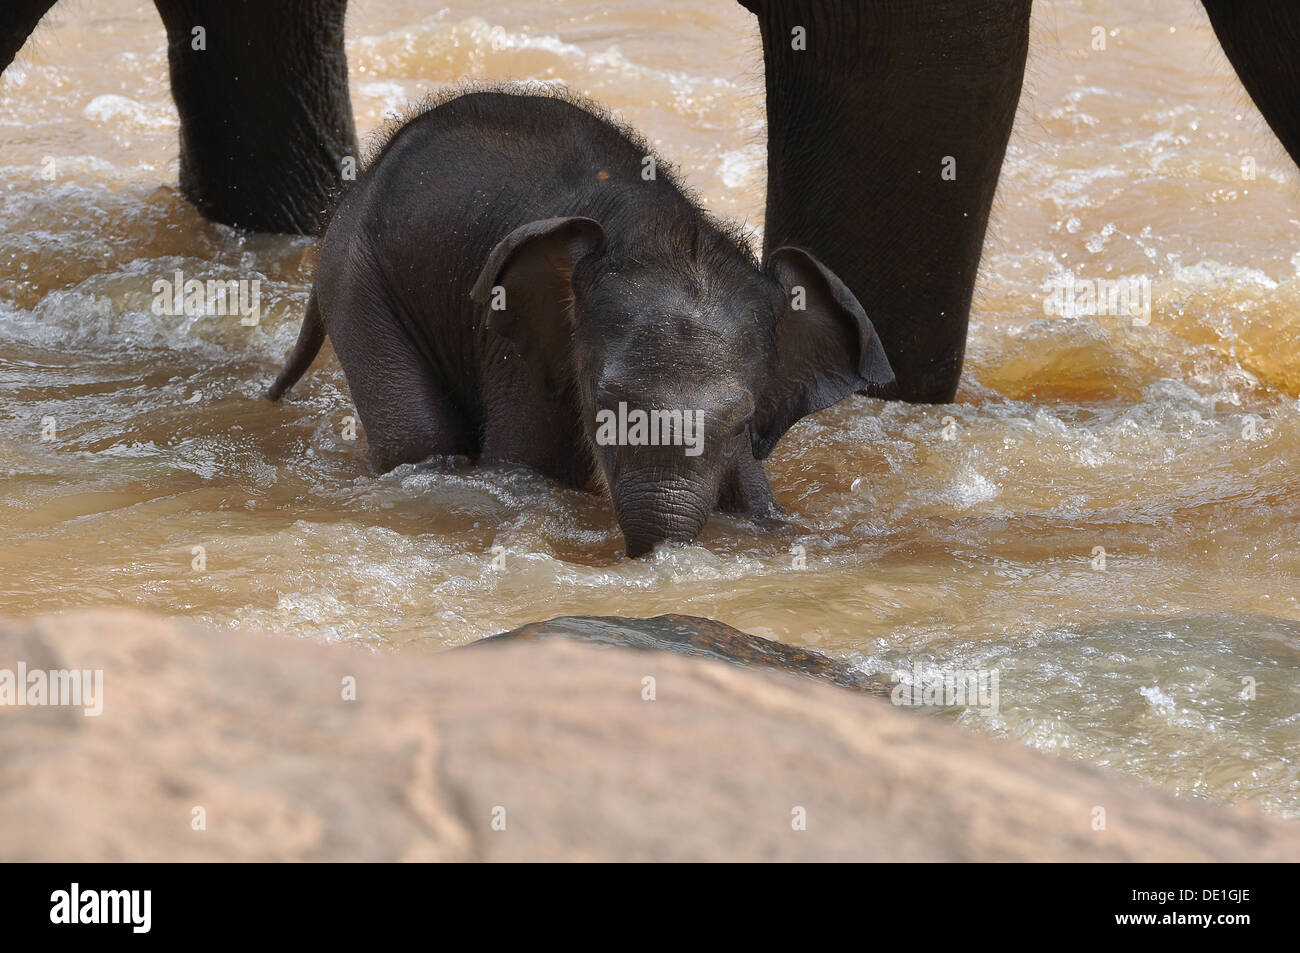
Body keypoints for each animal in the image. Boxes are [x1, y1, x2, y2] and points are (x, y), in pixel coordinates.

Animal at [265, 89, 896, 557]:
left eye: (742, 421)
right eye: (602, 403)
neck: (657, 228)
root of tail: (357, 184)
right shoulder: (521, 346)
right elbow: (526, 465)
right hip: (356, 275)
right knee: (418, 436)